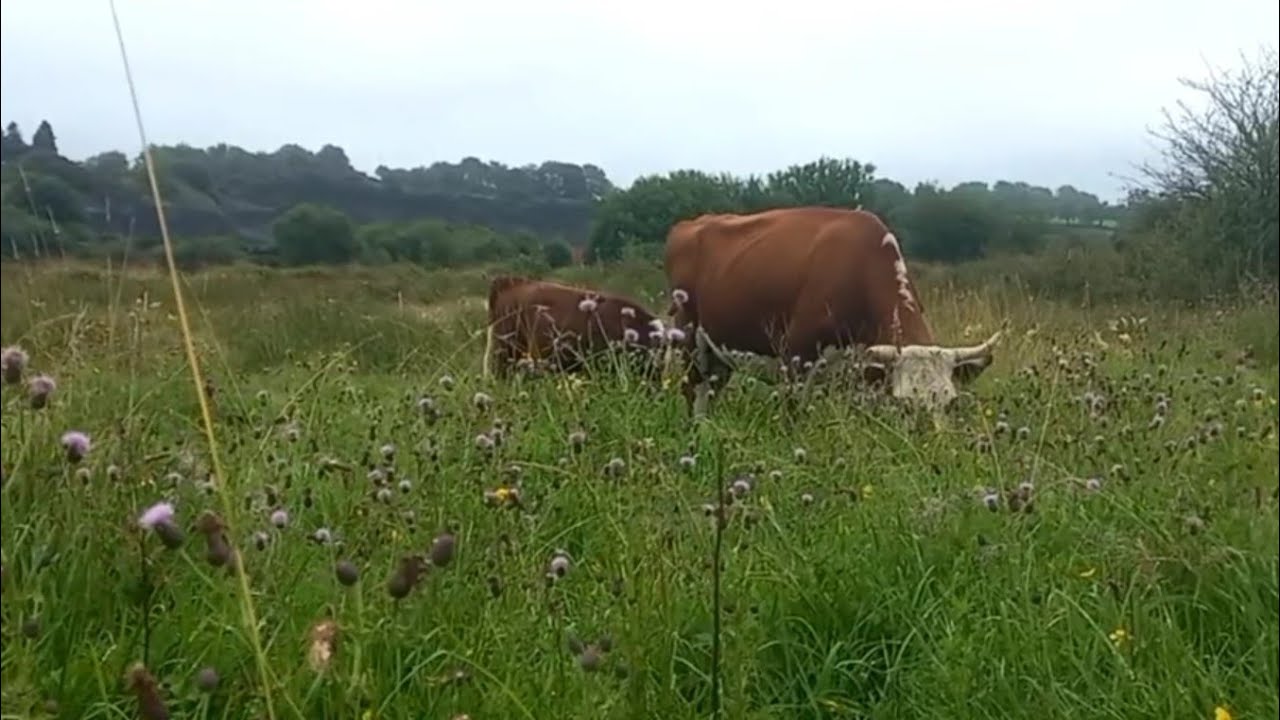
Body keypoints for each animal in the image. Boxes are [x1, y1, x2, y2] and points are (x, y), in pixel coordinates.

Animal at [663, 206, 1002, 413]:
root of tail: (694, 223)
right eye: (905, 404)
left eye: (951, 404)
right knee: (694, 394)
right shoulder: (797, 361)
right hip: (691, 342)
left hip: (720, 352)